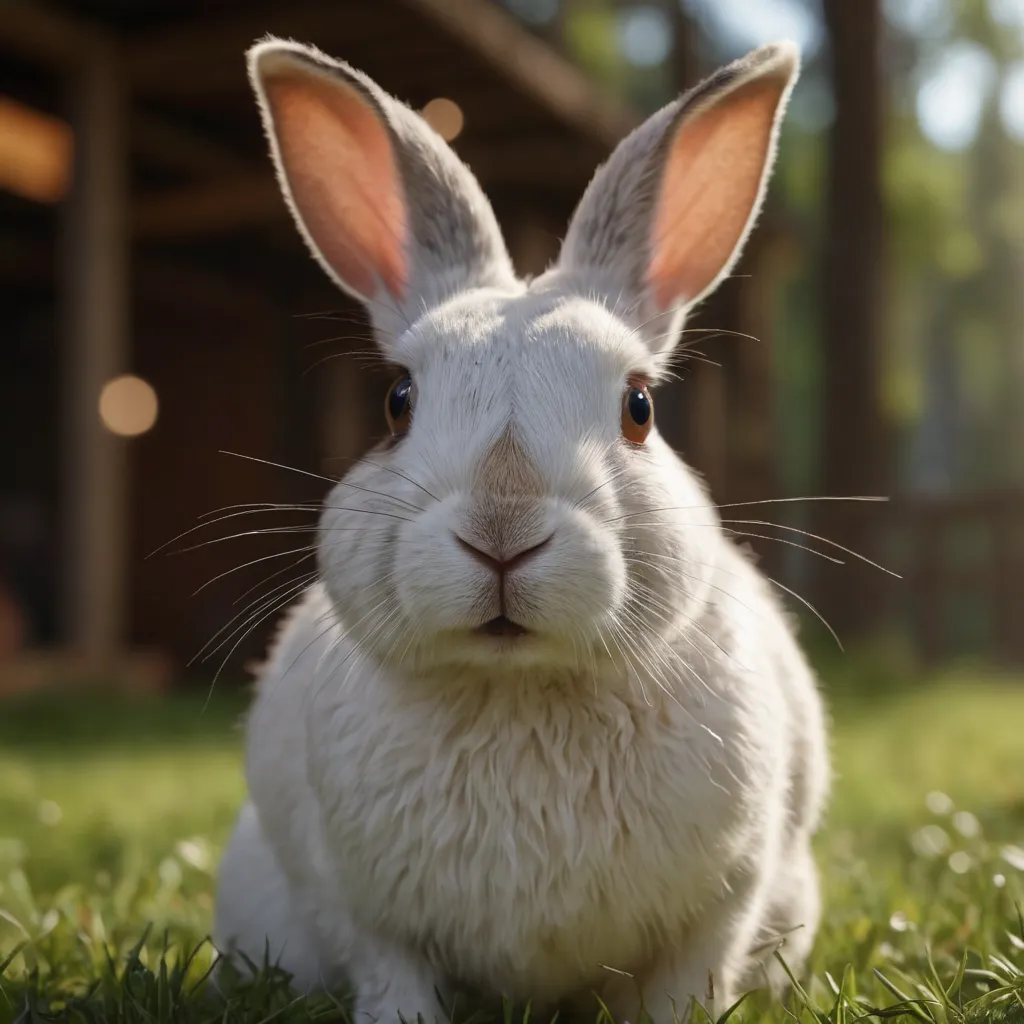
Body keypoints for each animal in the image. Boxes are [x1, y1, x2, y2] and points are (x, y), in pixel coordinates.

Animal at [213, 33, 830, 1024]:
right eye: (397, 401)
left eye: (639, 407)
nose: (502, 535)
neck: (517, 690)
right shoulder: (361, 913)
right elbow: (392, 977)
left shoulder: (725, 902)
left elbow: (687, 982)